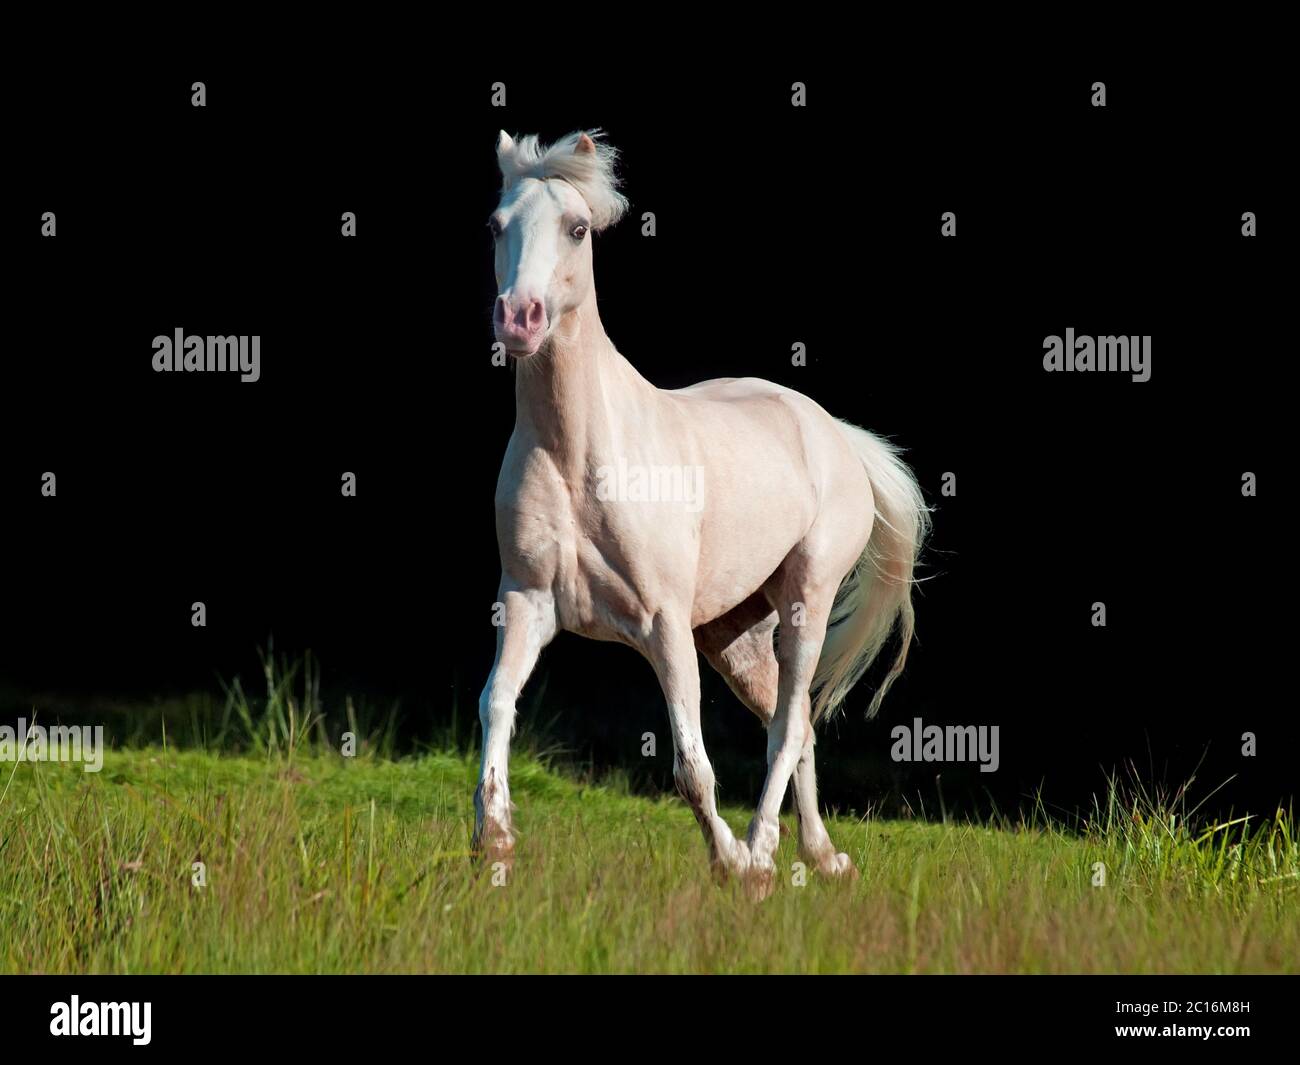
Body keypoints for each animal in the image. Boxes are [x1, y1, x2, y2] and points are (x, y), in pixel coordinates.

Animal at [476, 129, 929, 899]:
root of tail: (838, 435)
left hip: (805, 602)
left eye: (576, 228)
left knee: (787, 728)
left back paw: (764, 852)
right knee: (796, 725)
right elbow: (496, 705)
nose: (520, 319)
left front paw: (730, 863)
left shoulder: (663, 625)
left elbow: (692, 766)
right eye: (497, 226)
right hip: (734, 634)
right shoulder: (529, 603)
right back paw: (820, 854)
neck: (577, 457)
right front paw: (494, 842)